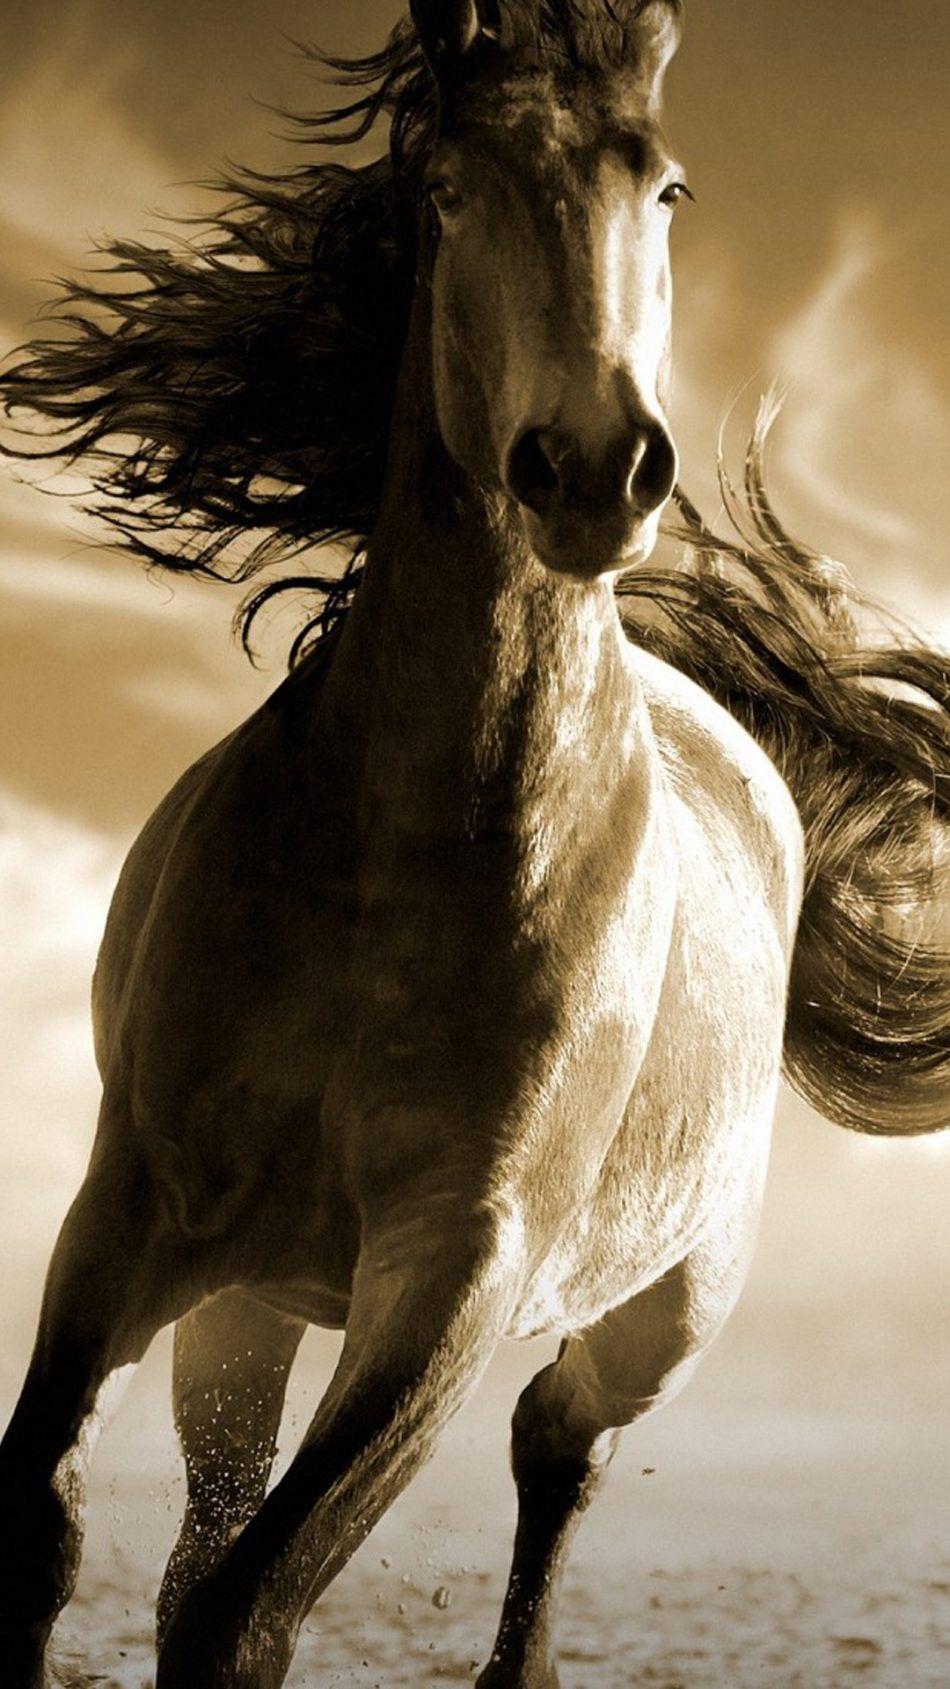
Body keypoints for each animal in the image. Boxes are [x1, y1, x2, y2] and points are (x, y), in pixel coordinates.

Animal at [1, 2, 948, 1685]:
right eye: (443, 187)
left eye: (665, 187)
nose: (592, 469)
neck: (406, 856)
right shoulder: (133, 1209)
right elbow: (50, 1541)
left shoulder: (450, 1273)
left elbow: (254, 1604)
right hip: (247, 1302)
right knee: (208, 1530)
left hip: (662, 1308)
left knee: (554, 1444)